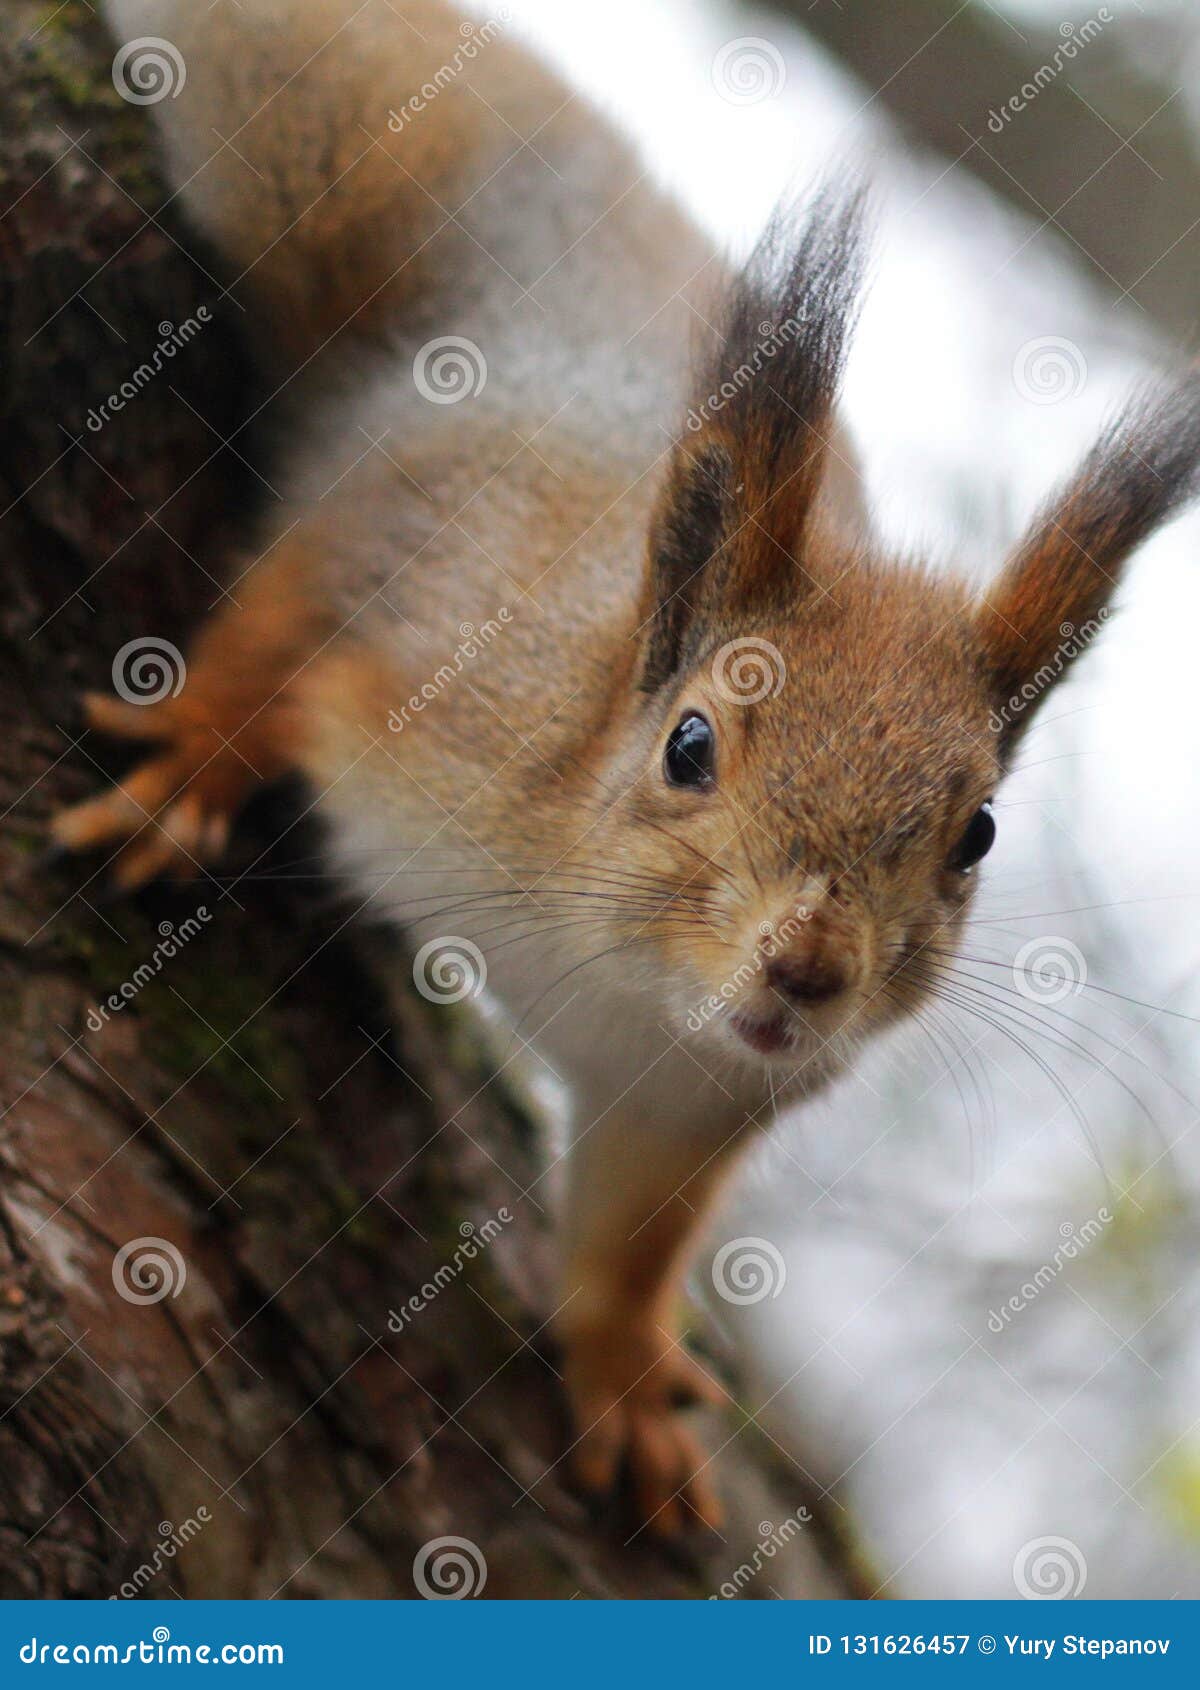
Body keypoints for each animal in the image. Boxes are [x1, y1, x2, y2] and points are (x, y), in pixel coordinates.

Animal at [53, 0, 1200, 1535]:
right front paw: (192, 761)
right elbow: (293, 606)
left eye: (979, 835)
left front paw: (624, 1375)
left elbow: (633, 1237)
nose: (807, 967)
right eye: (692, 743)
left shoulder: (689, 1093)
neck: (614, 957)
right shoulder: (438, 592)